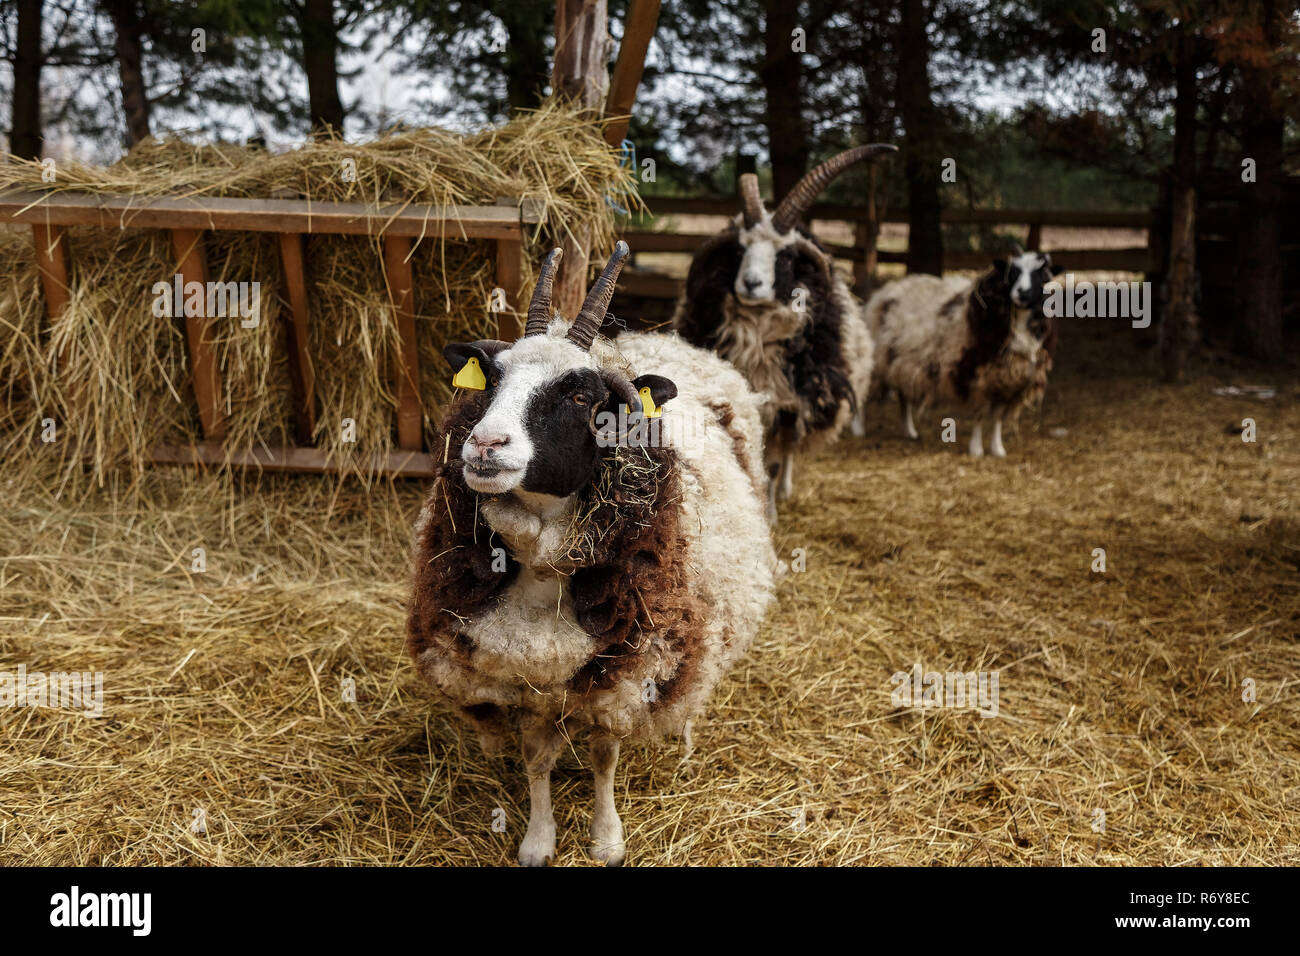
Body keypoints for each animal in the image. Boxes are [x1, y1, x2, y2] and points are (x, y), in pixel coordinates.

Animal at [406, 242, 776, 867]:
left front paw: (606, 840)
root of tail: (668, 343)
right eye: (492, 380)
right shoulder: (526, 677)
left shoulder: (625, 673)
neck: (539, 571)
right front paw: (538, 840)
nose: (483, 445)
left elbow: (604, 757)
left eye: (580, 395)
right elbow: (537, 758)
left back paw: (682, 735)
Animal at [672, 144, 897, 519]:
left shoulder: (788, 405)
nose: (750, 284)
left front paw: (772, 512)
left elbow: (775, 464)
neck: (758, 337)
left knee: (789, 453)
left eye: (787, 257)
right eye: (739, 250)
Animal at [863, 249, 1060, 457]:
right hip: (877, 361)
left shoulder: (1007, 379)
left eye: (1041, 275)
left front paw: (997, 448)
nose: (1022, 293)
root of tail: (885, 290)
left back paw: (910, 431)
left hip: (900, 361)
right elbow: (980, 413)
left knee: (904, 397)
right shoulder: (979, 376)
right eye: (1012, 272)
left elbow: (997, 416)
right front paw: (976, 449)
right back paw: (858, 429)